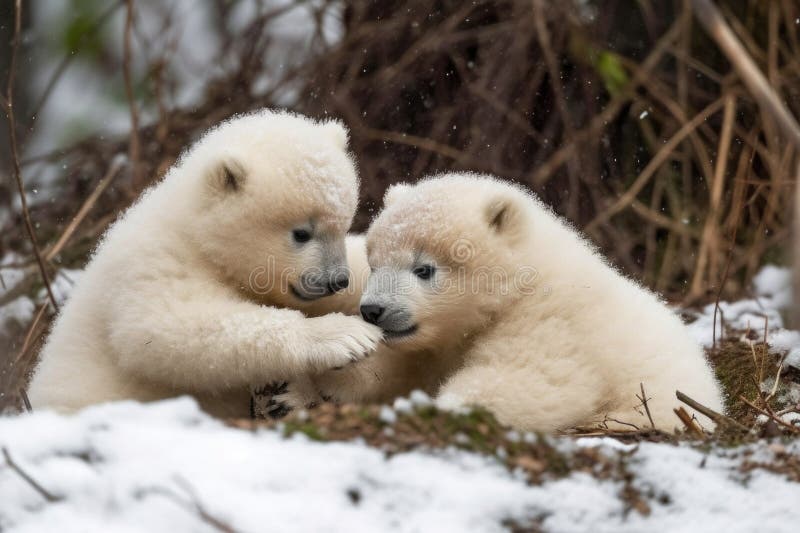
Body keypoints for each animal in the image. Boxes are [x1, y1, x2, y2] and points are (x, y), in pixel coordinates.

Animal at [27, 110, 383, 418]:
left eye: (343, 225)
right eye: (301, 233)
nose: (336, 280)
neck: (195, 233)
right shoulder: (153, 262)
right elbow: (168, 327)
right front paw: (344, 337)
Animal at [317, 173, 724, 432]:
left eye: (424, 269)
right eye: (375, 264)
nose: (373, 309)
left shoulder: (549, 323)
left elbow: (535, 381)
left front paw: (438, 407)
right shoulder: (429, 345)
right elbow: (396, 368)